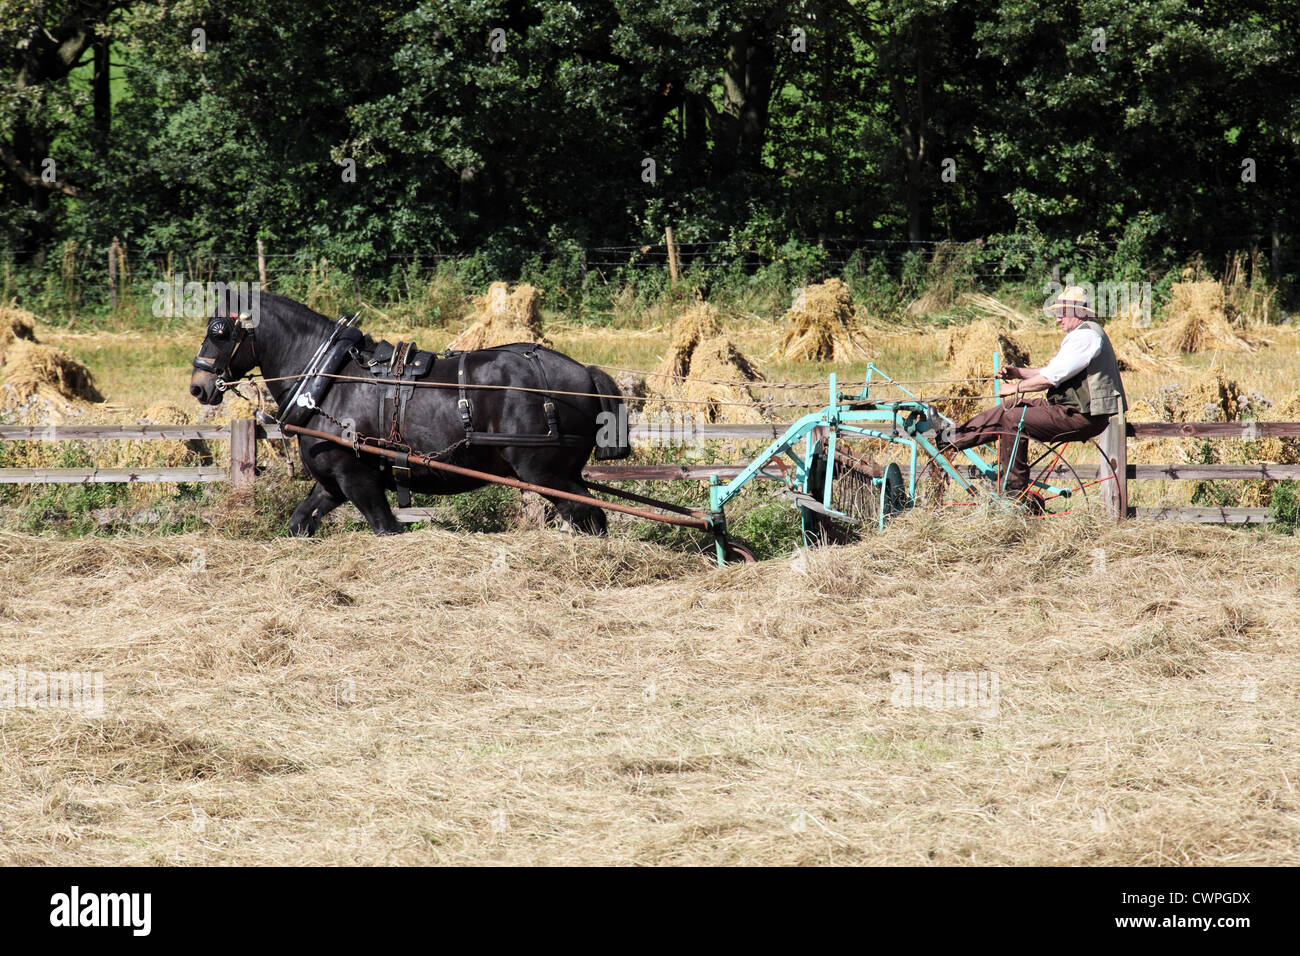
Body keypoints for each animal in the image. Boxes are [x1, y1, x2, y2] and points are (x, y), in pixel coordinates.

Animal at [189, 291, 629, 536]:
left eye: (218, 332)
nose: (198, 386)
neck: (328, 378)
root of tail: (584, 373)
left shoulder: (357, 478)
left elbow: (386, 528)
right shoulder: (331, 483)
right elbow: (300, 523)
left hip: (544, 473)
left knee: (588, 516)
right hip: (560, 473)